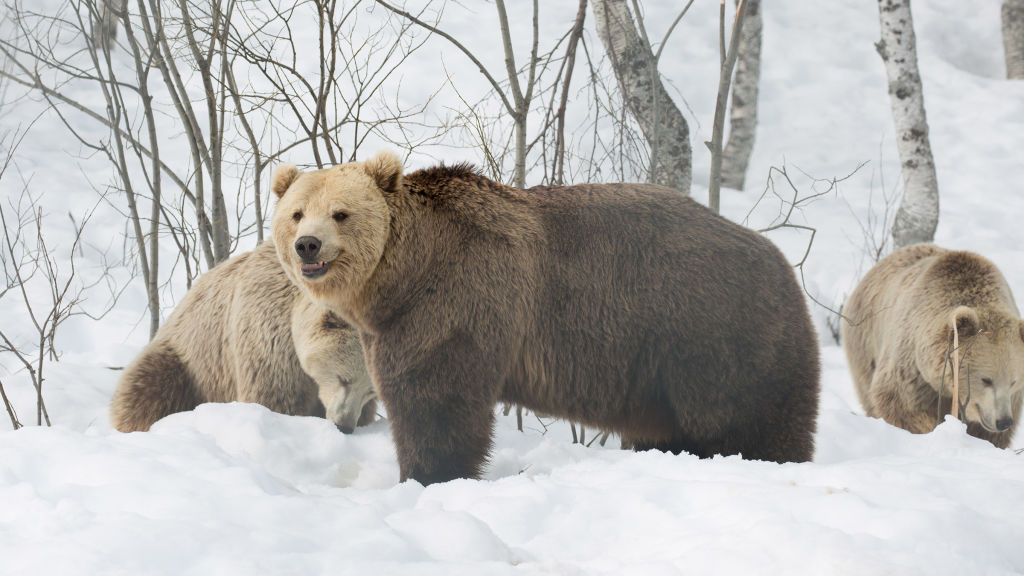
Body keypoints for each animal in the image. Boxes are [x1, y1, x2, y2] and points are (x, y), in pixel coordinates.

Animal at [110, 240, 377, 433]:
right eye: (342, 378)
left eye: (370, 392)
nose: (343, 425)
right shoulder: (270, 339)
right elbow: (275, 398)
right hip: (189, 361)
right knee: (148, 387)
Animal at [271, 151, 821, 485]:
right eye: (296, 213)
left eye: (341, 213)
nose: (308, 245)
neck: (399, 277)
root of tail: (782, 264)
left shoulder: (455, 301)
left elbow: (437, 399)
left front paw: (429, 473)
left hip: (713, 333)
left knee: (753, 419)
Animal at [842, 243, 1024, 448]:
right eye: (986, 380)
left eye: (1014, 381)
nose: (1003, 421)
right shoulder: (913, 367)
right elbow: (901, 404)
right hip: (865, 343)